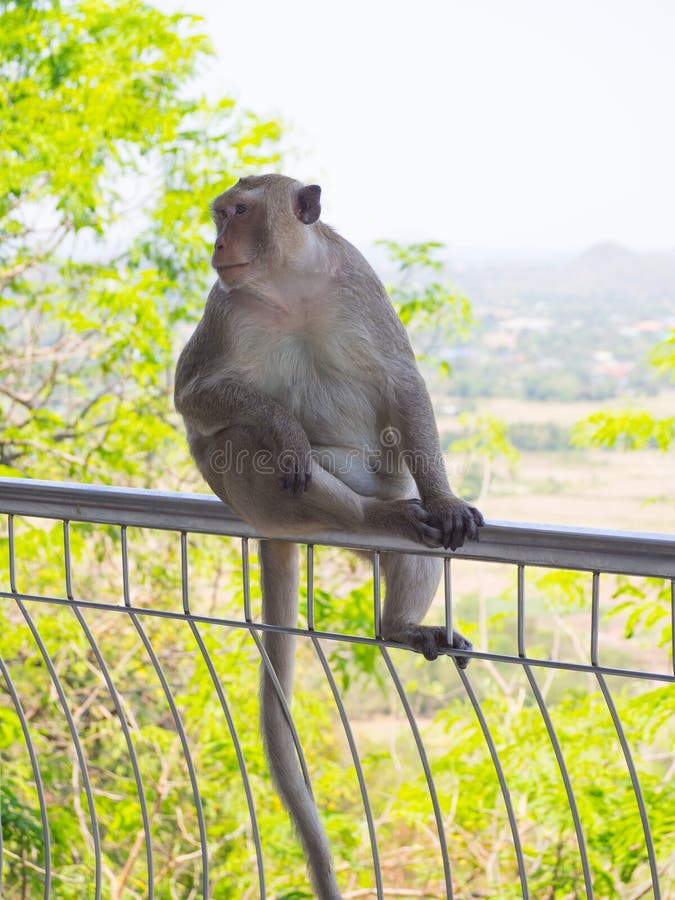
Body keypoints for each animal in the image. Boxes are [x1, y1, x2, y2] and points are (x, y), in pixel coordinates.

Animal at [174, 174, 484, 899]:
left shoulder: (358, 289)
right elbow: (197, 396)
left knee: (413, 534)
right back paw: (361, 513)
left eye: (238, 212)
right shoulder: (226, 308)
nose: (217, 244)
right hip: (261, 496)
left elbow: (404, 387)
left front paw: (444, 497)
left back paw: (401, 620)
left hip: (376, 491)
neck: (290, 286)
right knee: (245, 445)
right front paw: (285, 431)